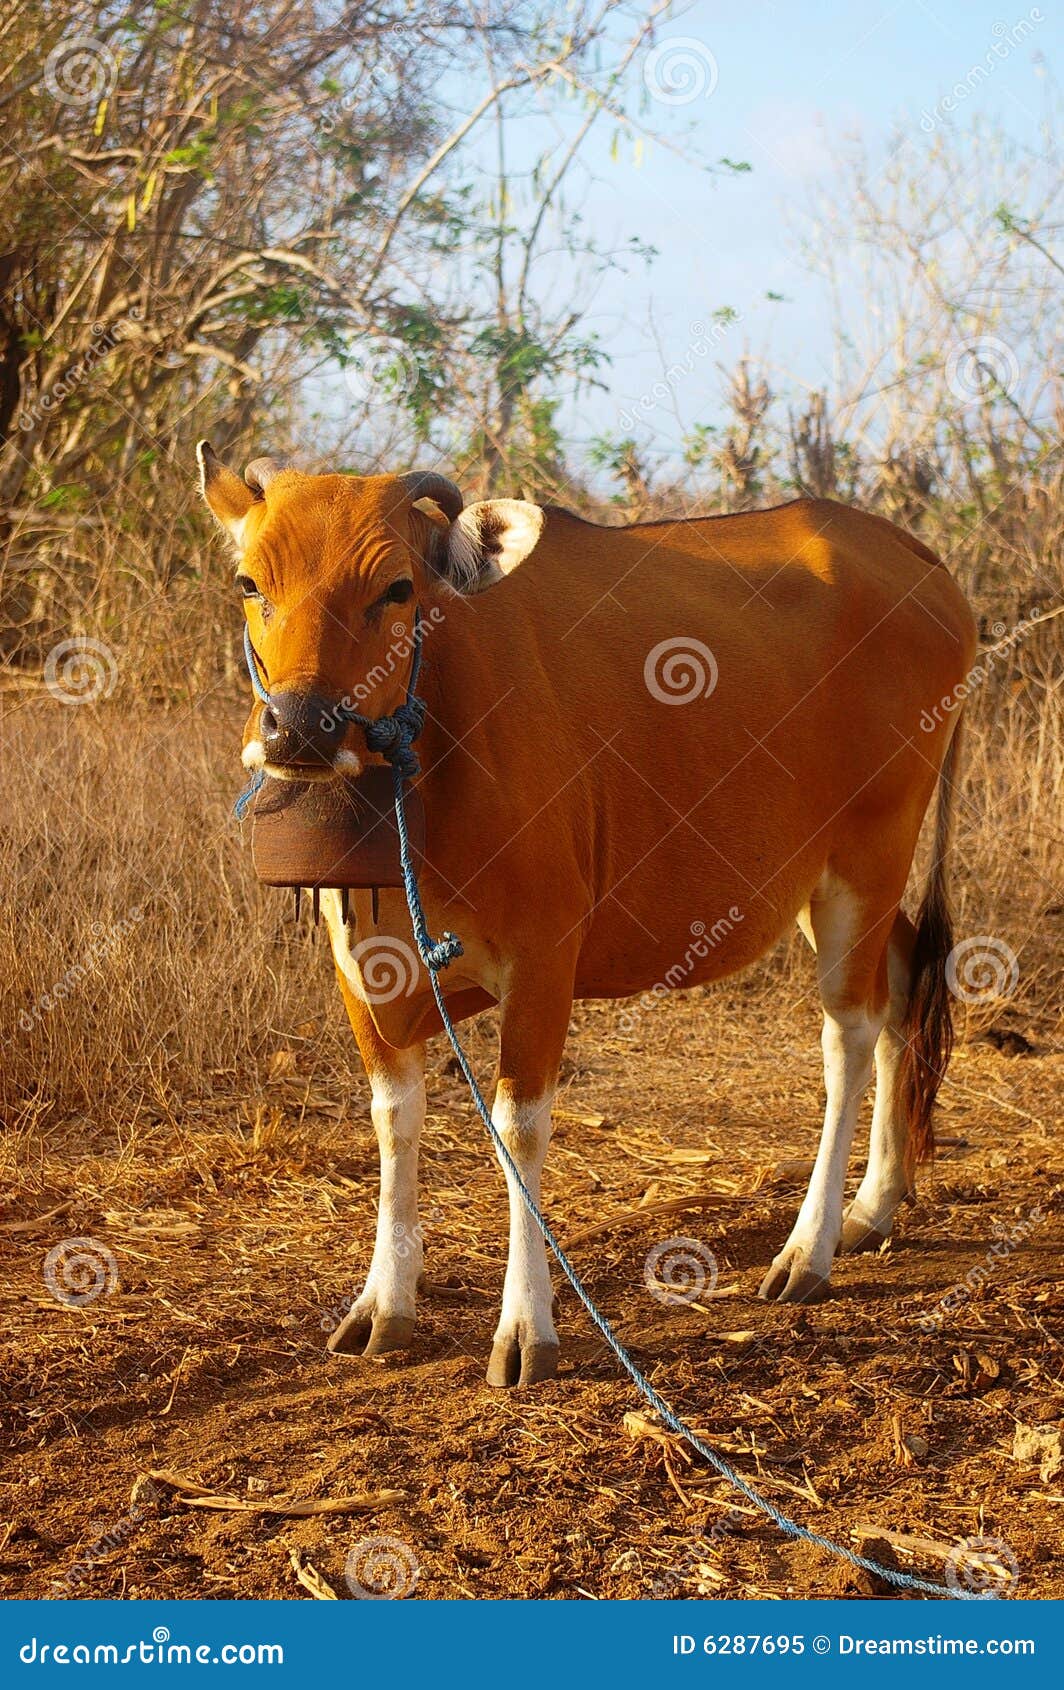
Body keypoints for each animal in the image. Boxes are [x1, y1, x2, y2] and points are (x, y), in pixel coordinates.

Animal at [197, 442, 978, 1387]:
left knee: (850, 1033)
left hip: (869, 855)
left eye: (397, 588)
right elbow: (395, 1119)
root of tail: (919, 559)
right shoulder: (362, 962)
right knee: (903, 991)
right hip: (819, 875)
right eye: (250, 583)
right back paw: (874, 1206)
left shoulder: (545, 954)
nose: (300, 727)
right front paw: (385, 1304)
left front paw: (527, 1327)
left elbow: (519, 1129)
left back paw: (810, 1247)